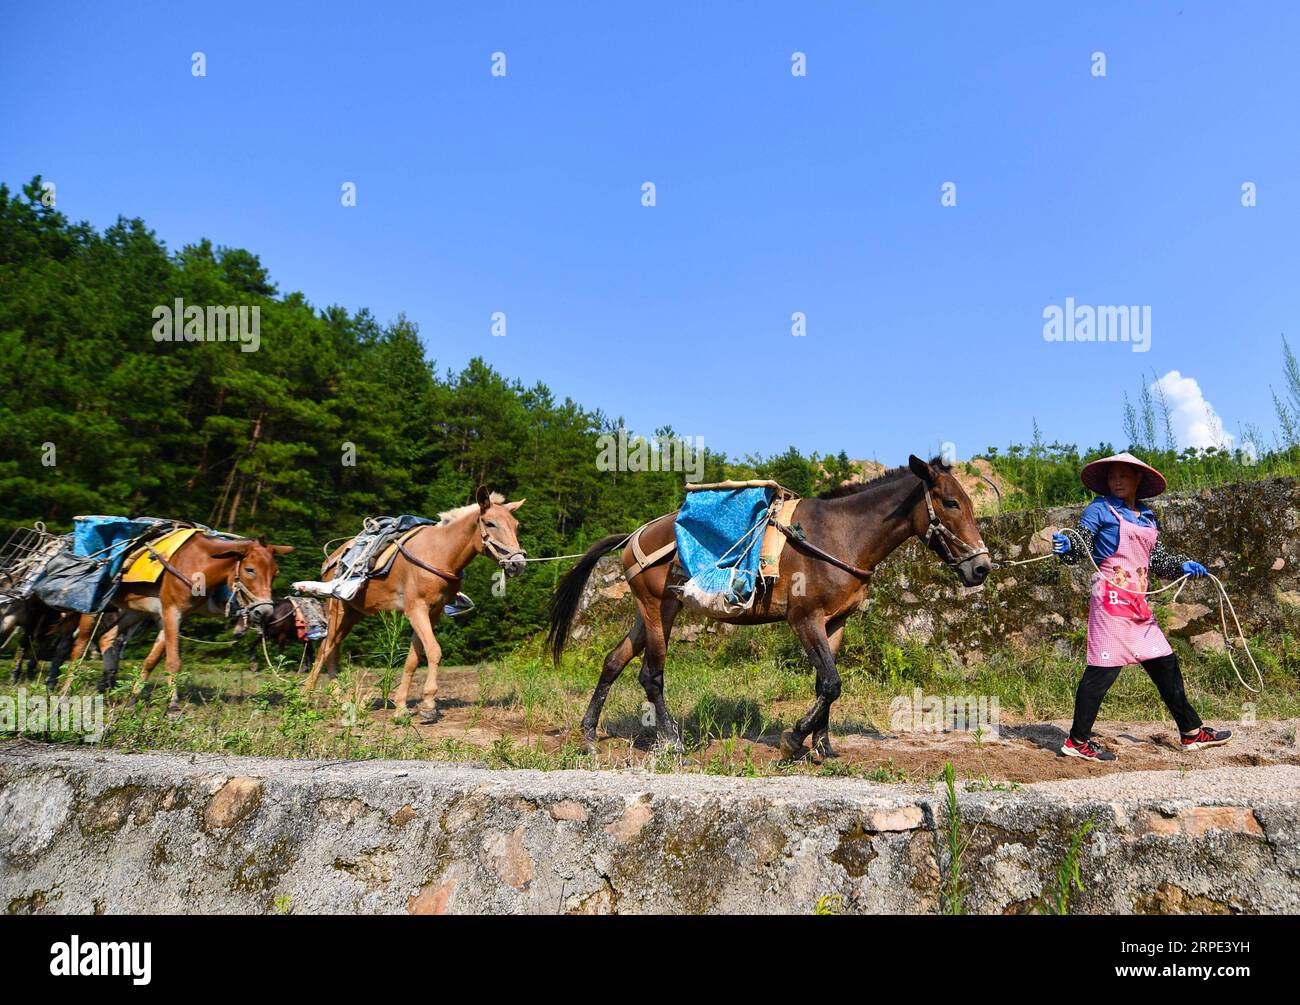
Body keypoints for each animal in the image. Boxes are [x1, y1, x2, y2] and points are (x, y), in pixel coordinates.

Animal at [302, 487, 526, 722]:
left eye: (516, 525)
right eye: (490, 523)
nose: (518, 564)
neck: (439, 553)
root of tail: (332, 558)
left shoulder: (432, 613)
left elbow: (413, 658)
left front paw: (401, 706)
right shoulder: (416, 609)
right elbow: (434, 651)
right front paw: (428, 705)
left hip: (353, 614)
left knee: (332, 651)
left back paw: (339, 701)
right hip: (337, 610)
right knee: (324, 650)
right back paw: (305, 698)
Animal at [548, 455, 991, 761]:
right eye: (950, 502)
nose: (982, 567)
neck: (839, 535)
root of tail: (634, 535)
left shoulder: (835, 623)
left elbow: (824, 684)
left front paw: (823, 745)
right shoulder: (803, 619)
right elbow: (832, 683)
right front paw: (795, 739)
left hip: (656, 610)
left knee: (613, 661)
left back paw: (589, 734)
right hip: (657, 608)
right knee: (650, 675)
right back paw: (670, 738)